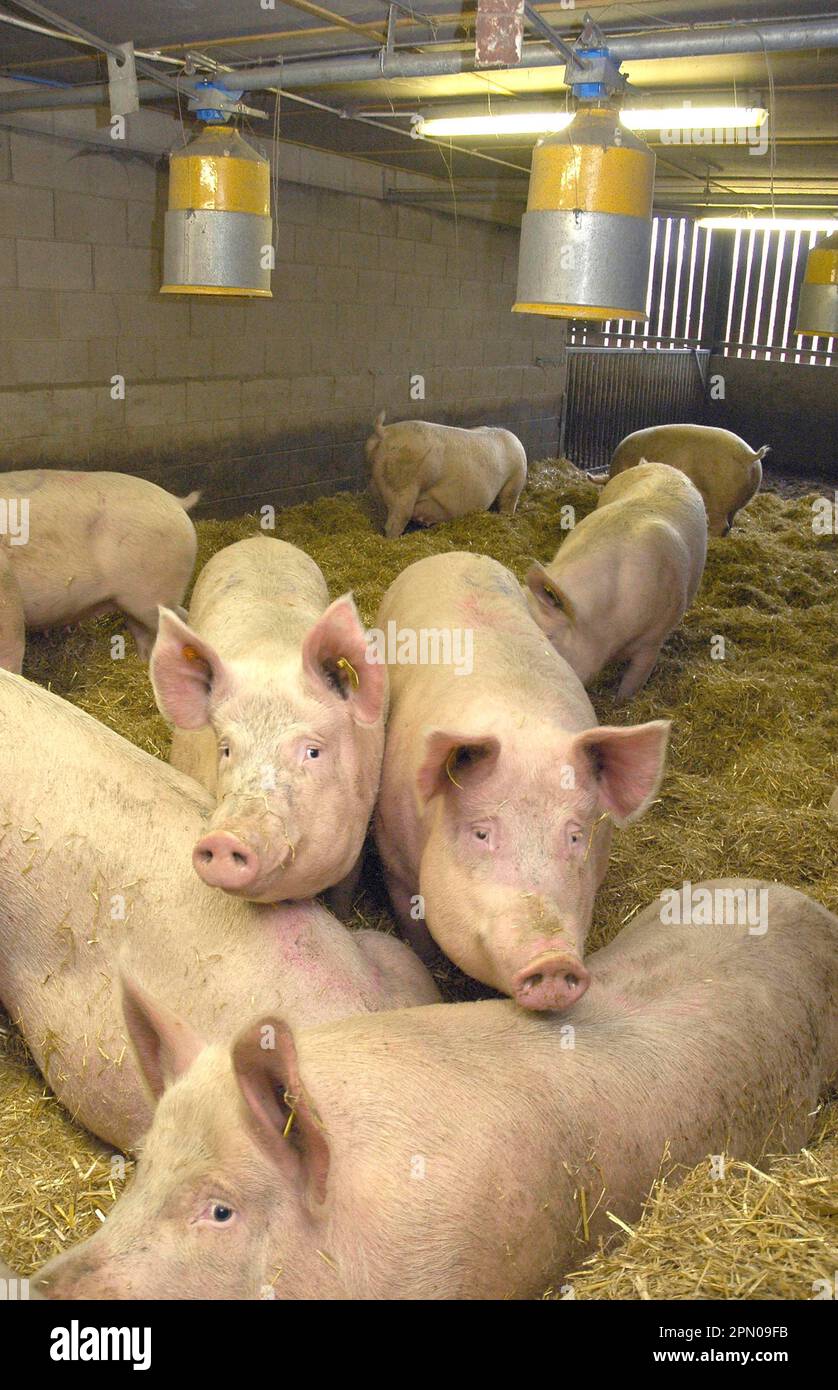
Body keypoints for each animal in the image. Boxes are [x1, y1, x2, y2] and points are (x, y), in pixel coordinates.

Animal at [365, 412, 527, 538]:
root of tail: (384, 431)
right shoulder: (515, 481)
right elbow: (507, 504)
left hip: (378, 486)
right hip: (403, 489)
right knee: (394, 524)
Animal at [373, 552, 670, 1009]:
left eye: (575, 836)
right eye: (481, 833)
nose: (553, 960)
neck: (520, 725)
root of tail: (454, 553)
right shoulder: (393, 858)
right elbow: (415, 929)